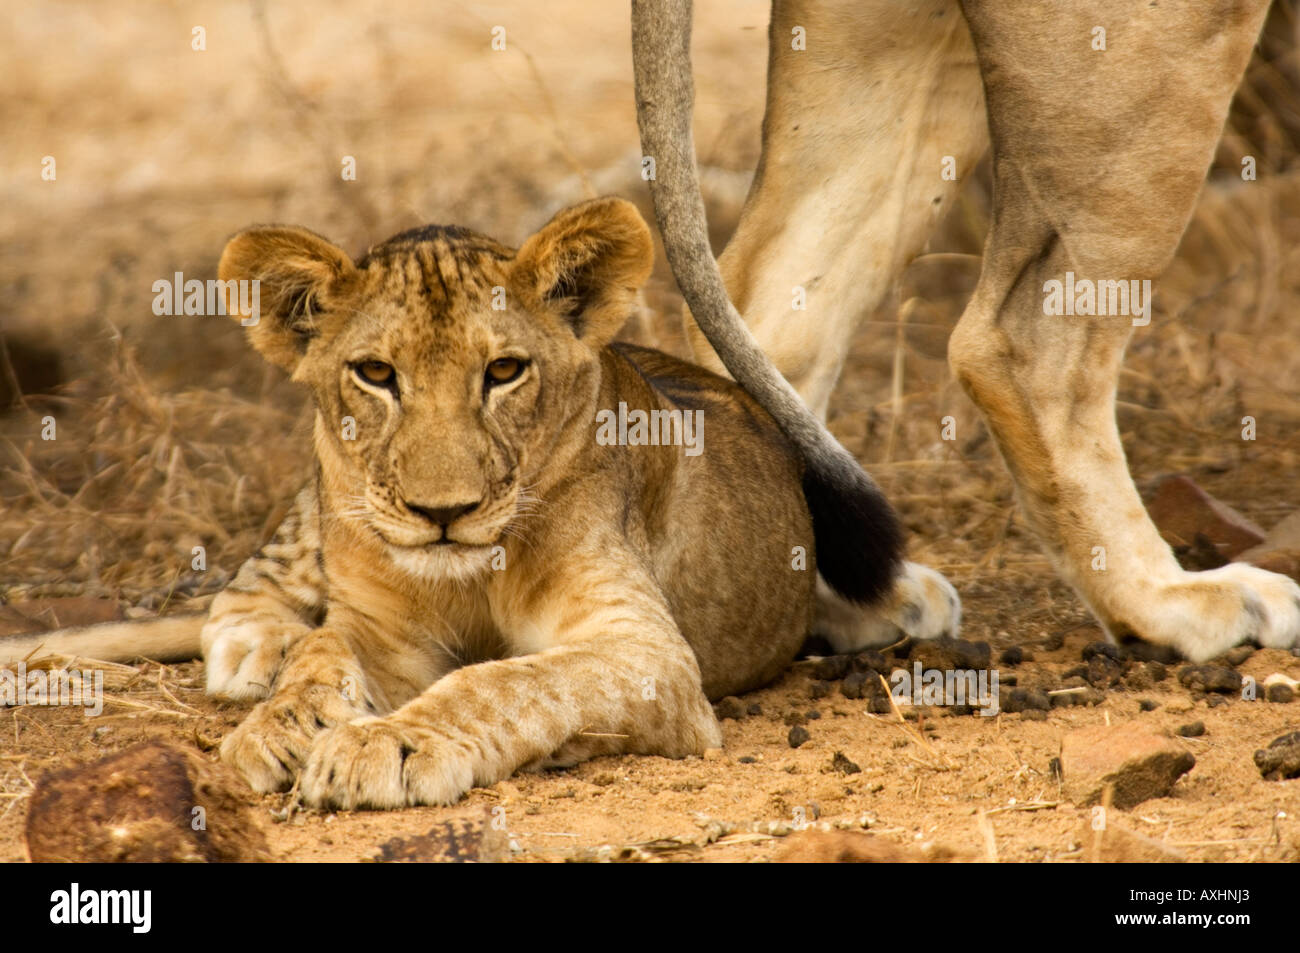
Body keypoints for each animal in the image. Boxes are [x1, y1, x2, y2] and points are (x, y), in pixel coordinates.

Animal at [0, 197, 957, 808]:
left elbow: (505, 680)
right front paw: (283, 725)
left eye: (503, 371)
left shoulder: (646, 652)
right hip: (323, 503)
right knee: (256, 589)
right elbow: (324, 652)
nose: (442, 513)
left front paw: (384, 743)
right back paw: (256, 649)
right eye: (375, 373)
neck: (470, 573)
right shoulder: (377, 626)